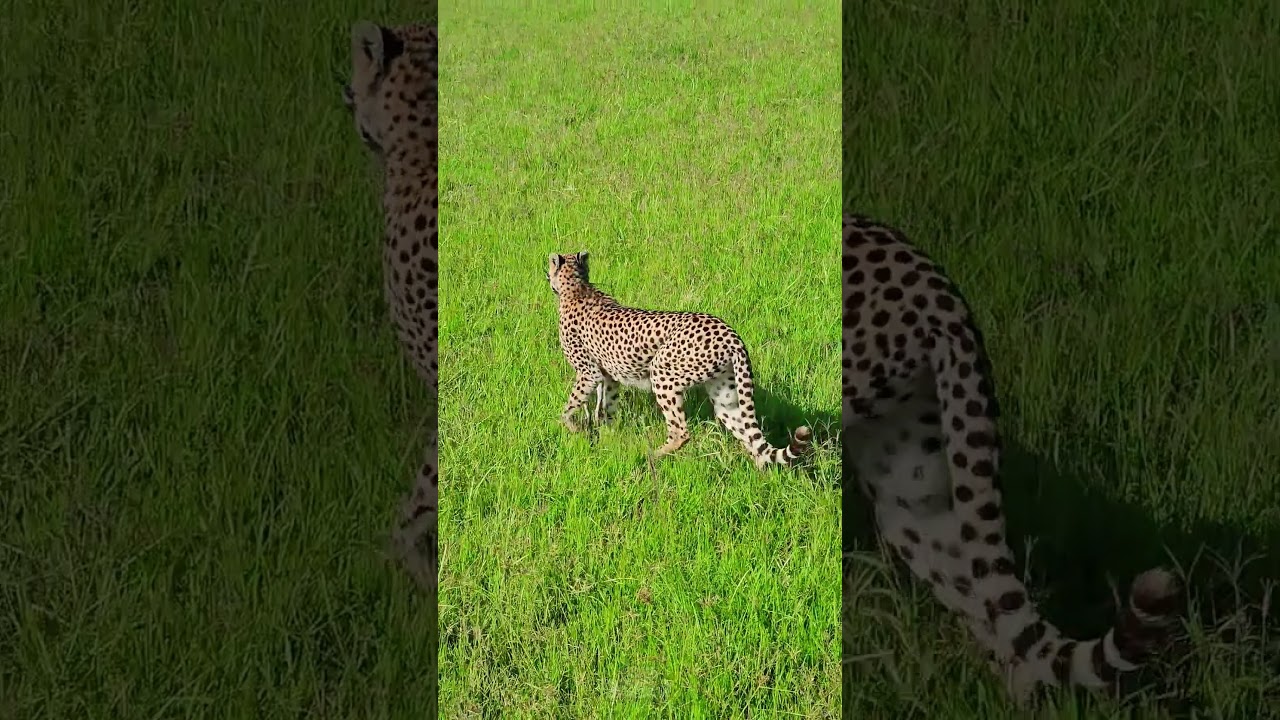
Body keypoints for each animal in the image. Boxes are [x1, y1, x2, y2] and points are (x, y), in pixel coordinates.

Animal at [548, 251, 812, 470]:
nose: (545, 274)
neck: (578, 287)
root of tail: (730, 333)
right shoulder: (609, 377)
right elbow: (606, 407)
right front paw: (606, 435)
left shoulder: (588, 372)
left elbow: (570, 406)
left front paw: (571, 427)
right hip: (725, 395)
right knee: (749, 433)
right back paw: (760, 471)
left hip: (662, 374)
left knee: (680, 431)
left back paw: (651, 456)